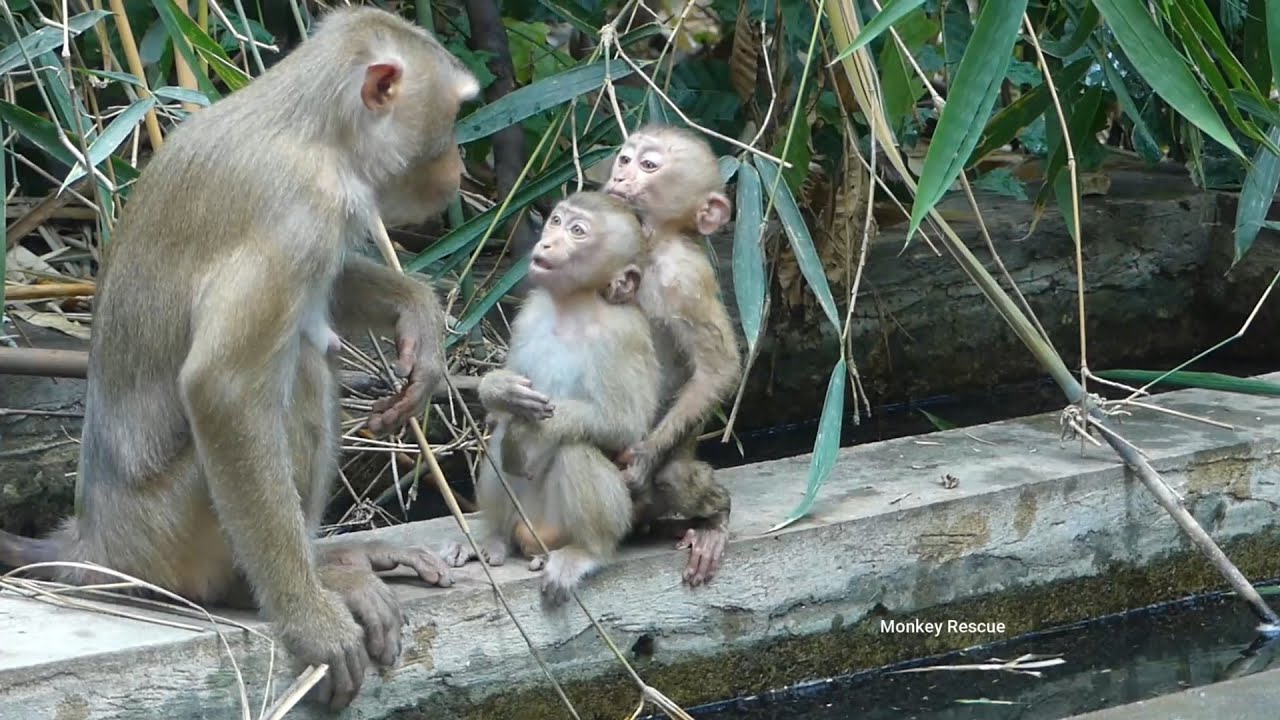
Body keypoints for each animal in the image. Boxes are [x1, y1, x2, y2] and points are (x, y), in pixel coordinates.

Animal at [0, 6, 478, 710]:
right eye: (451, 115)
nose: (460, 165)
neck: (312, 130)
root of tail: (93, 544)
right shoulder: (301, 211)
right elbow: (221, 388)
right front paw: (310, 621)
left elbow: (331, 288)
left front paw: (416, 311)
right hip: (171, 537)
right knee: (297, 366)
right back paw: (282, 585)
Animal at [441, 192, 660, 606]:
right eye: (556, 221)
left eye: (577, 231)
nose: (546, 243)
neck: (570, 308)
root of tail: (534, 535)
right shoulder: (530, 313)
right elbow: (506, 405)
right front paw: (498, 389)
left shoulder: (621, 333)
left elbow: (625, 425)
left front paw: (533, 431)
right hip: (522, 514)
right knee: (499, 443)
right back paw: (493, 537)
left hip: (581, 523)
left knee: (575, 449)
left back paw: (586, 552)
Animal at [601, 123, 740, 588]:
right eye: (625, 159)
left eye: (649, 165)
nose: (620, 176)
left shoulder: (686, 278)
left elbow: (719, 368)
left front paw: (642, 459)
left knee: (675, 476)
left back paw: (713, 520)